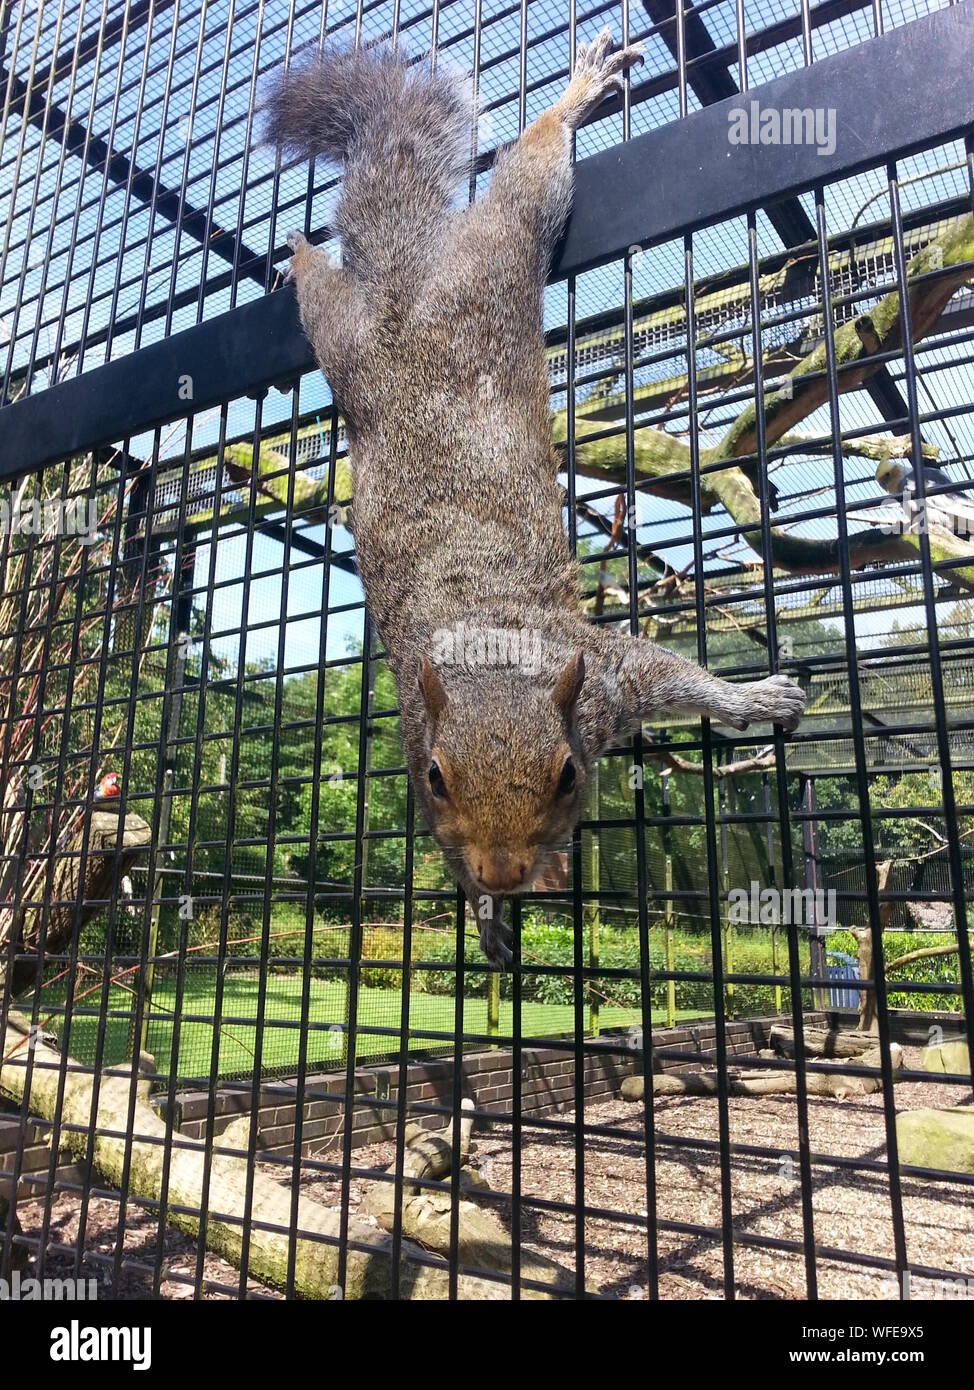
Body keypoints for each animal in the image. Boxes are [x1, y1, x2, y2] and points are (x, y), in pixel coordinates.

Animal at [263, 31, 806, 969]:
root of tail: (407, 281)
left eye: (569, 776)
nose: (507, 870)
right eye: (436, 779)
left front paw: (754, 701)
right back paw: (298, 251)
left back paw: (576, 94)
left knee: (529, 172)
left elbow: (680, 677)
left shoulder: (609, 681)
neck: (489, 662)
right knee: (327, 289)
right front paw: (485, 914)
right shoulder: (417, 733)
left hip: (501, 244)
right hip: (347, 343)